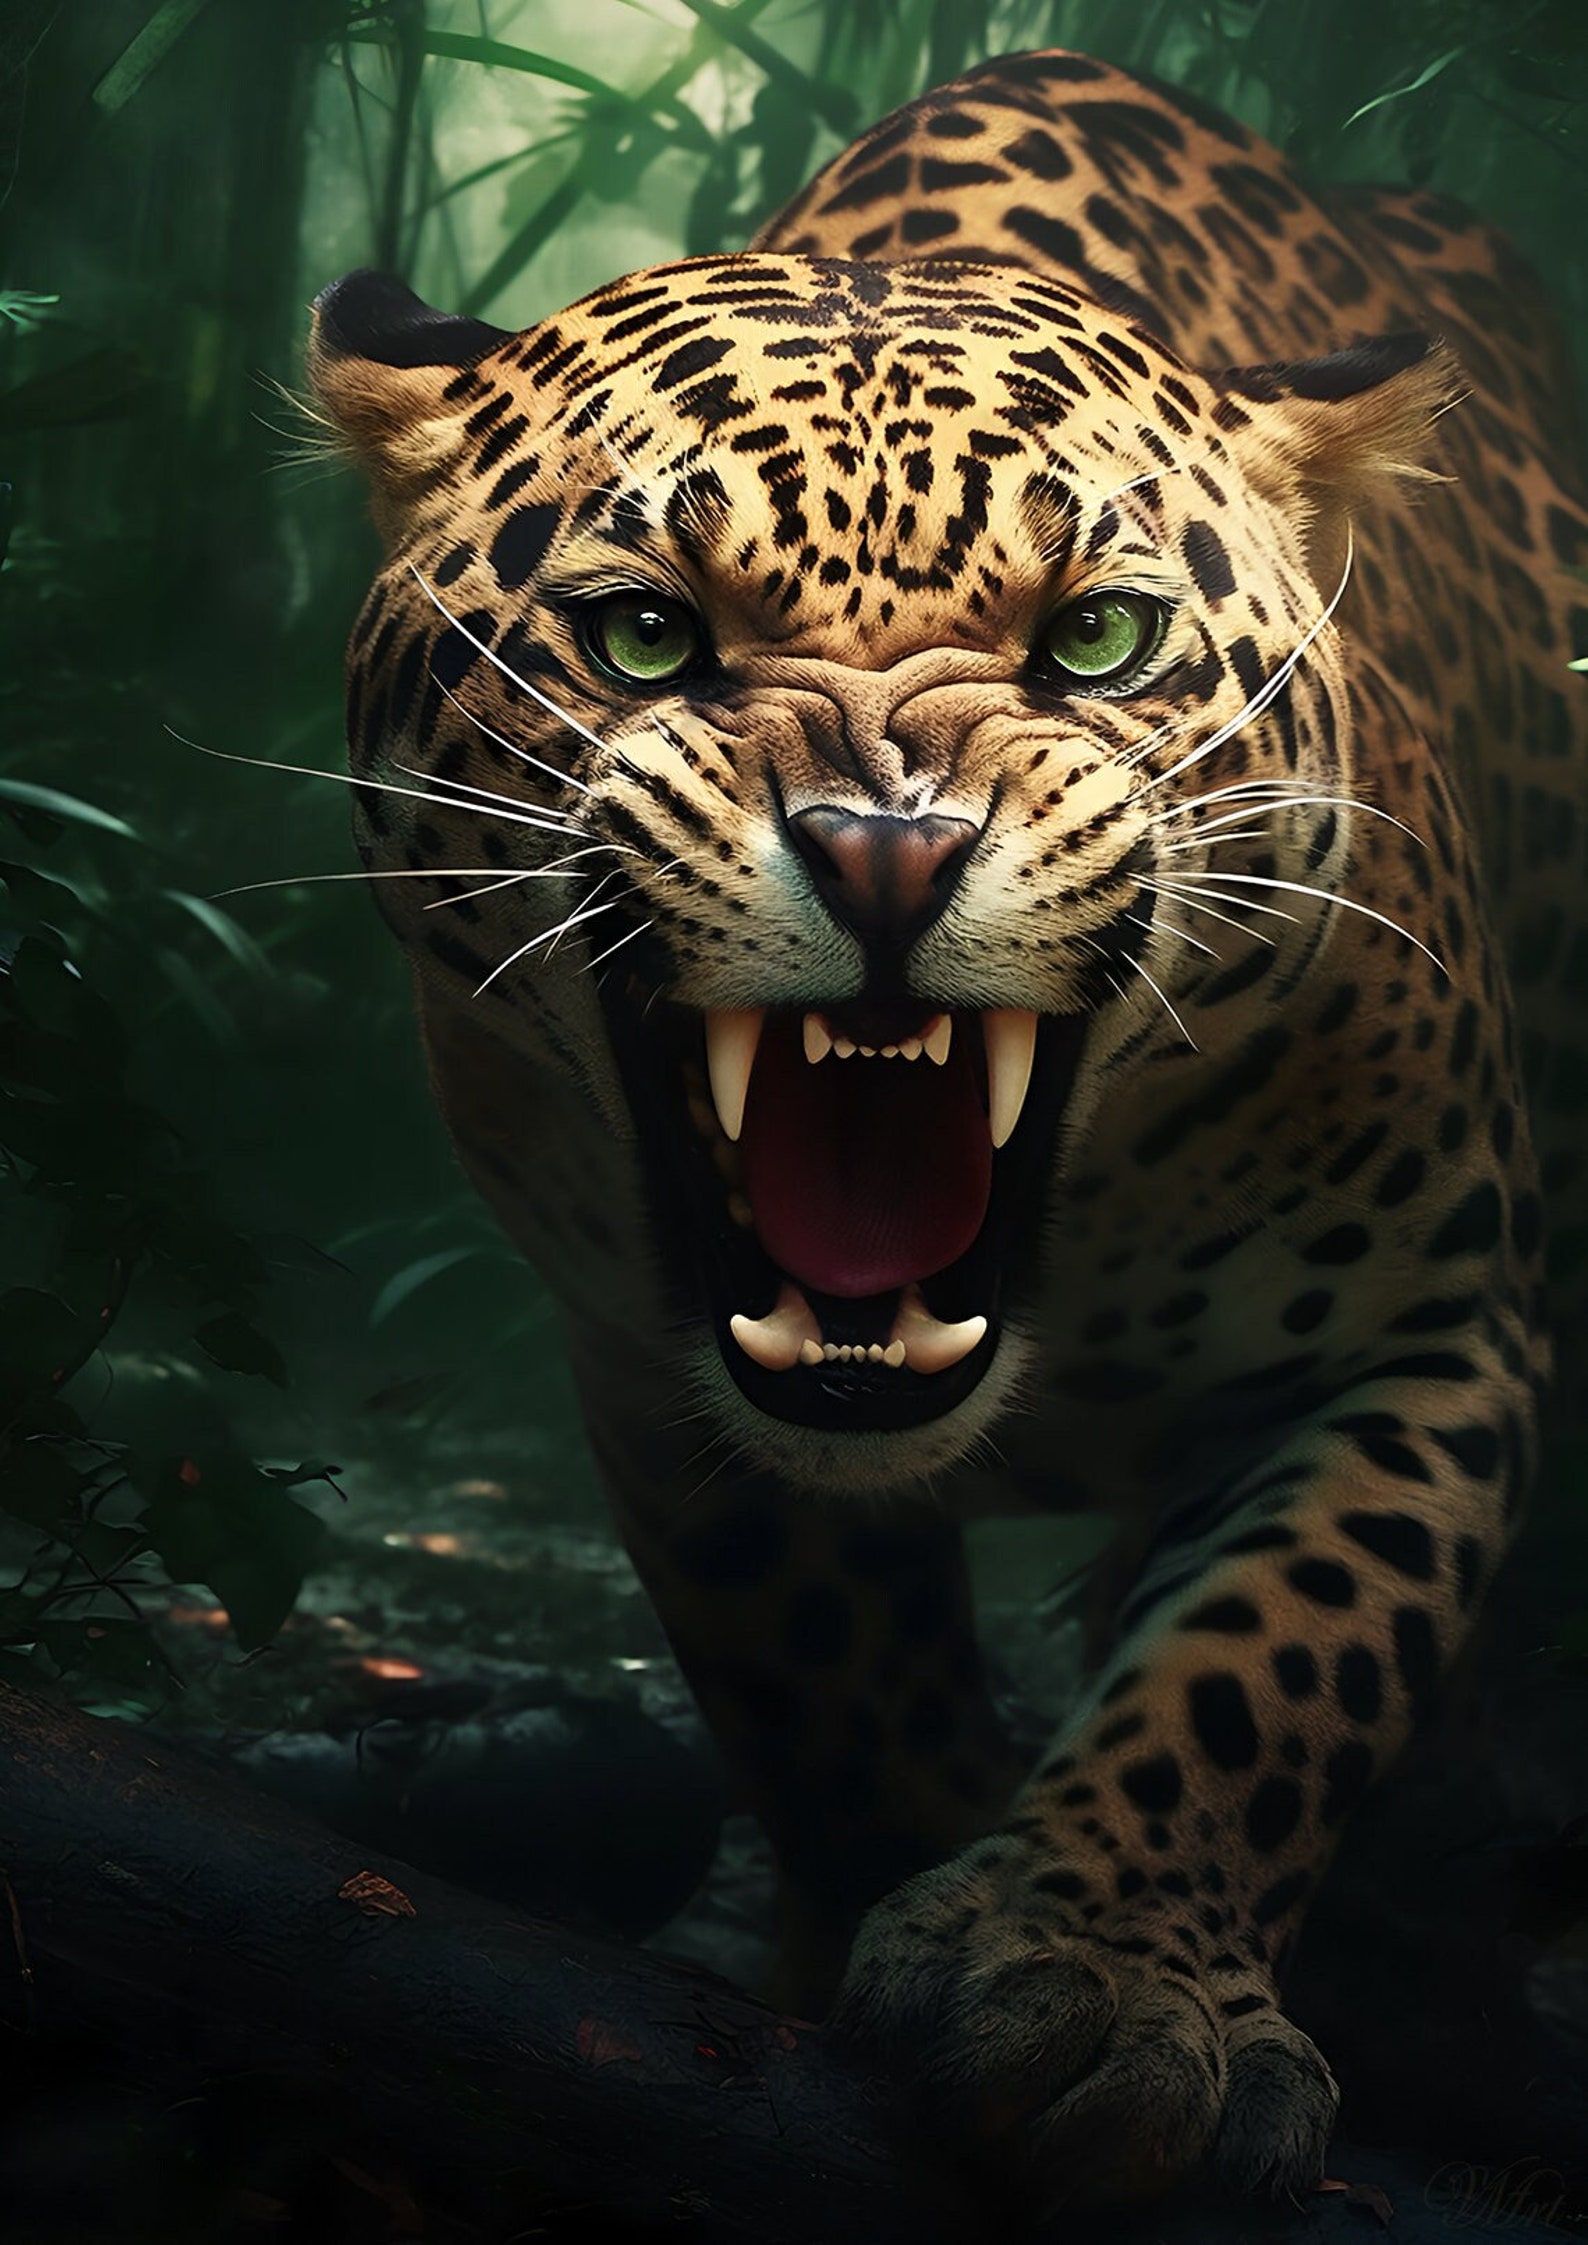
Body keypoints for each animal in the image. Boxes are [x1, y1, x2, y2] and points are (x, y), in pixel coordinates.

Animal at [307, 46, 1588, 2218]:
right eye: (643, 637)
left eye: (1094, 641)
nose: (886, 857)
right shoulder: (644, 1361)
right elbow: (817, 1672)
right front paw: (910, 1890)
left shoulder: (1425, 1338)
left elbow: (1271, 1665)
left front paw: (1095, 1978)